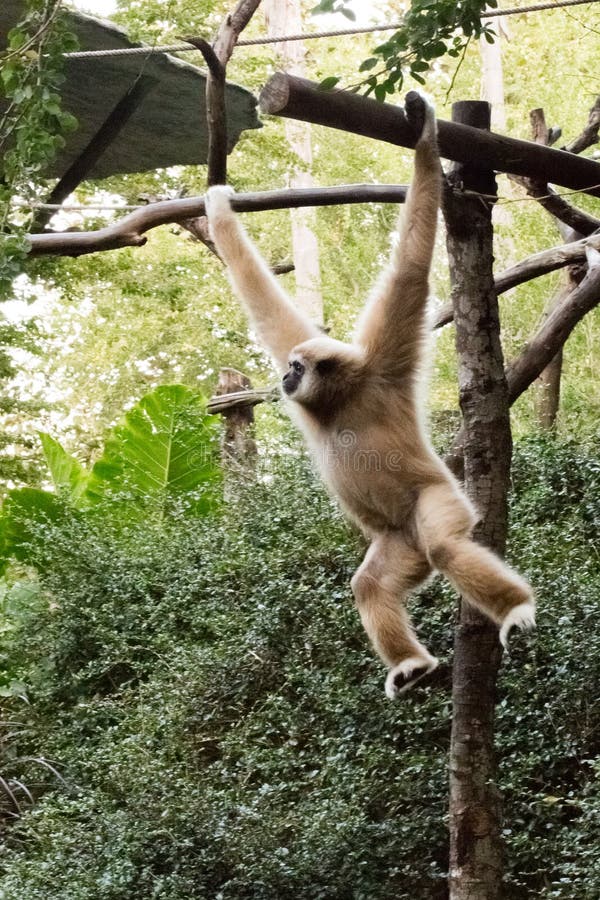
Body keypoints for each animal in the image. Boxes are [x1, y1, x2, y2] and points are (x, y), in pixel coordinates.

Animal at [205, 91, 535, 698]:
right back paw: (412, 665)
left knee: (446, 546)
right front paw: (217, 208)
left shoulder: (385, 360)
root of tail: (410, 536)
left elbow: (409, 269)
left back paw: (516, 611)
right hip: (397, 542)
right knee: (372, 584)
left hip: (440, 502)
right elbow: (262, 302)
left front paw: (426, 137)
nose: (286, 379)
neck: (337, 402)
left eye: (297, 367)